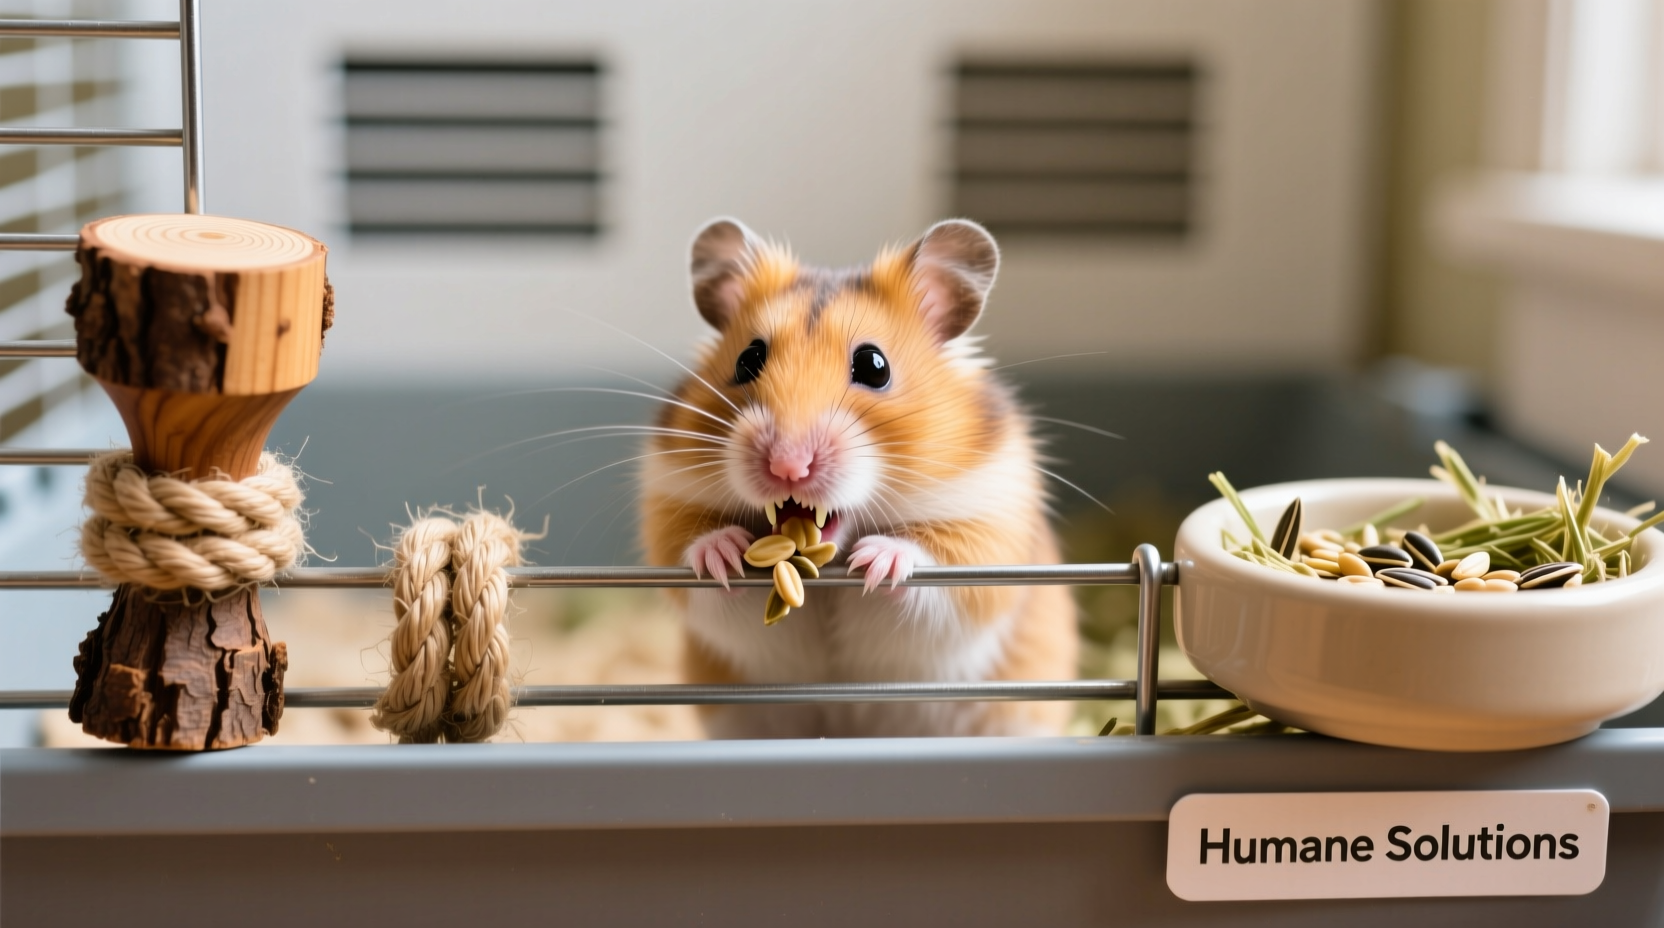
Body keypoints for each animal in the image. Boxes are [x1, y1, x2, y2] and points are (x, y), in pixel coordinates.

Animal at [640, 217, 1077, 738]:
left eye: (874, 365)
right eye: (747, 360)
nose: (787, 466)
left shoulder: (989, 530)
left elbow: (940, 575)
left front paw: (877, 561)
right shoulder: (671, 505)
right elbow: (699, 572)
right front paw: (725, 553)